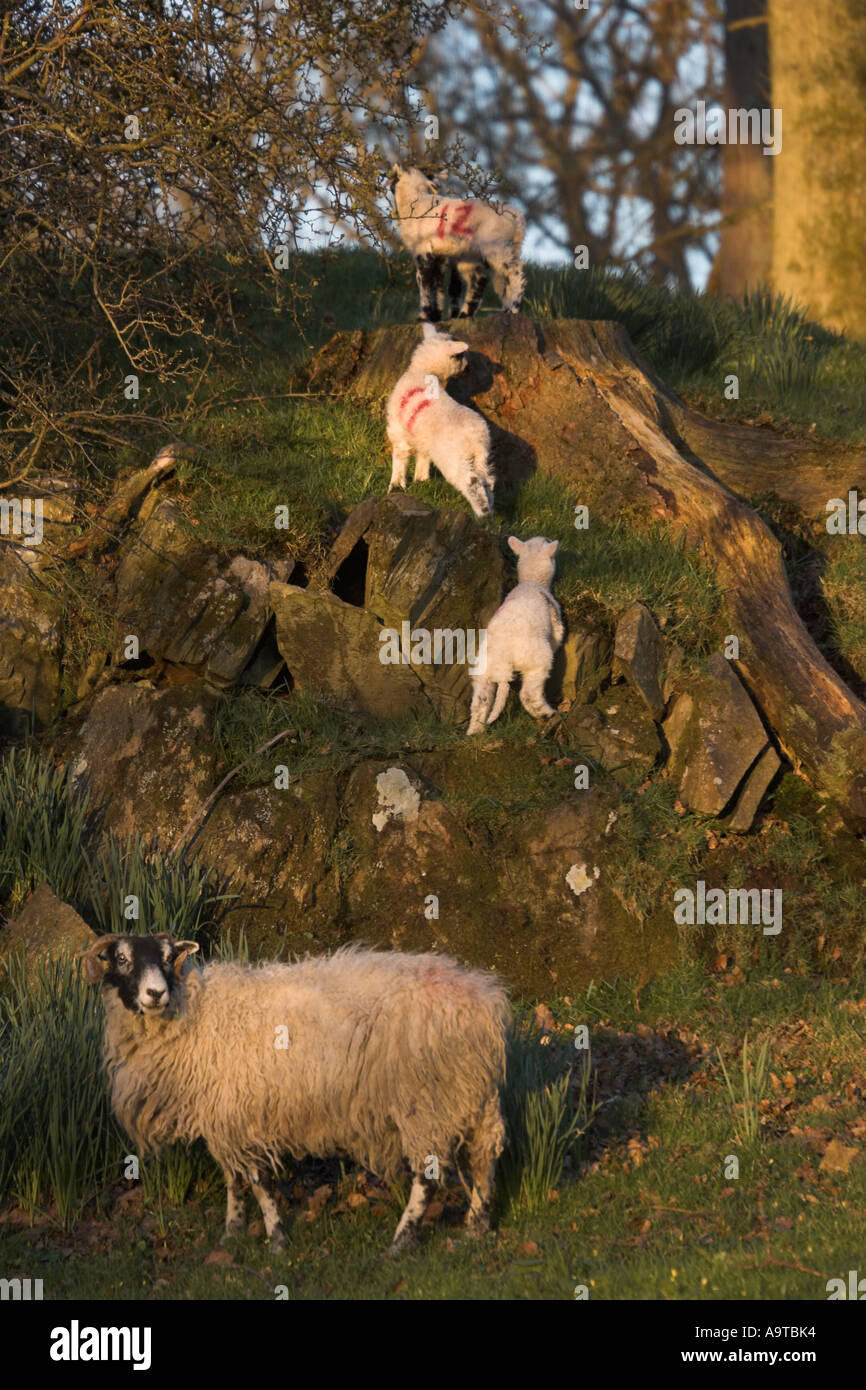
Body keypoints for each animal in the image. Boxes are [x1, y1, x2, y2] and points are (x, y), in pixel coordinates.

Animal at [82, 932, 509, 1254]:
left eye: (169, 958)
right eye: (122, 959)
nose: (155, 994)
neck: (195, 1015)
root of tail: (484, 999)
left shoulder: (240, 1115)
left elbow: (257, 1181)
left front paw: (276, 1239)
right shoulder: (222, 1118)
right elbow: (233, 1179)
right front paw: (232, 1232)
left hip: (427, 1100)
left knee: (428, 1176)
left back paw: (401, 1241)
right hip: (468, 1096)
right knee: (484, 1157)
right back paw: (476, 1226)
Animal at [386, 322, 494, 518]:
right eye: (460, 356)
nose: (468, 368)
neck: (422, 371)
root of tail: (477, 439)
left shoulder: (397, 432)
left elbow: (399, 460)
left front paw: (396, 486)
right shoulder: (423, 442)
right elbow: (422, 462)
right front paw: (421, 481)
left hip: (454, 458)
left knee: (471, 481)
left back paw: (481, 511)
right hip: (480, 458)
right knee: (488, 481)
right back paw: (489, 511)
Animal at [391, 165, 525, 323]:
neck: (414, 202)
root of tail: (517, 218)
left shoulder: (422, 249)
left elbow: (424, 281)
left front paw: (423, 317)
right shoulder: (439, 254)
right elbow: (437, 284)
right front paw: (435, 316)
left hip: (494, 245)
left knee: (515, 270)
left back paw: (513, 309)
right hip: (480, 253)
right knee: (485, 279)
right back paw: (472, 314)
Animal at [468, 536, 564, 734]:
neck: (532, 581)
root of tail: (503, 664)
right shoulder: (556, 620)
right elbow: (559, 635)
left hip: (482, 668)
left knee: (481, 700)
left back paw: (474, 731)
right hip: (536, 657)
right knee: (528, 693)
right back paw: (547, 713)